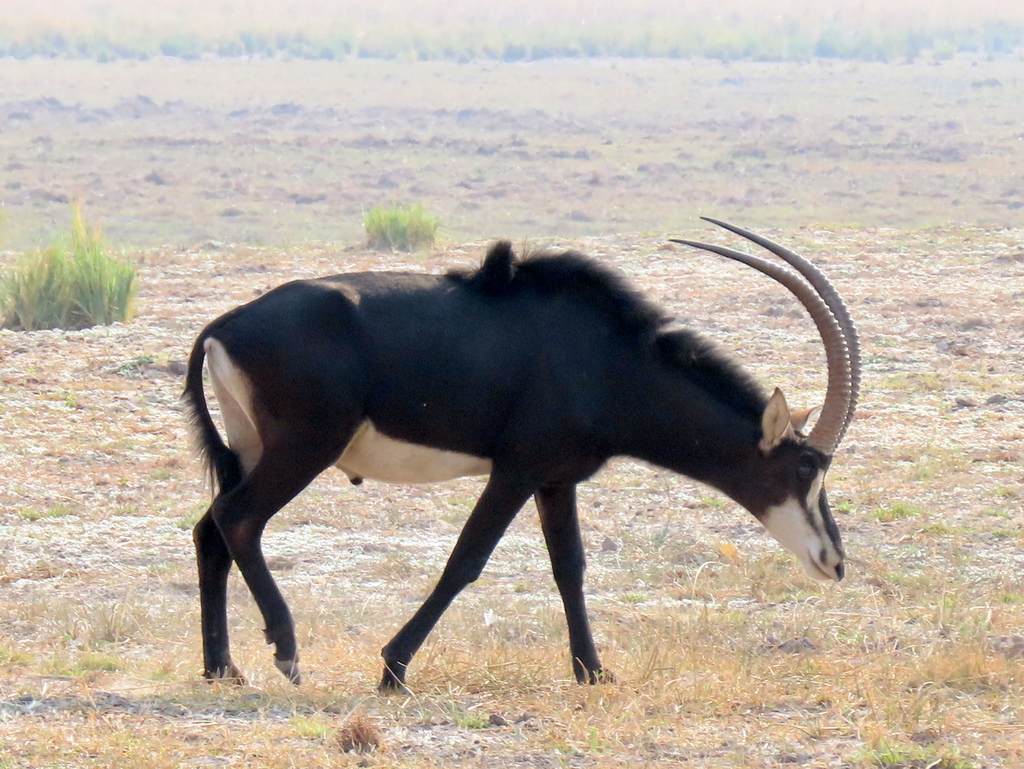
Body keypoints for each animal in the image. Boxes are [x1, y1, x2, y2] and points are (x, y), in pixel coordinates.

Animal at [183, 218, 859, 691]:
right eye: (805, 467)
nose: (835, 562)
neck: (604, 356)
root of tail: (223, 326)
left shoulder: (558, 480)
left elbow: (570, 567)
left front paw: (592, 671)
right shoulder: (517, 470)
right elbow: (466, 561)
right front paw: (394, 669)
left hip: (254, 447)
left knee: (210, 529)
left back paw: (223, 669)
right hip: (305, 446)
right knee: (239, 518)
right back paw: (286, 653)